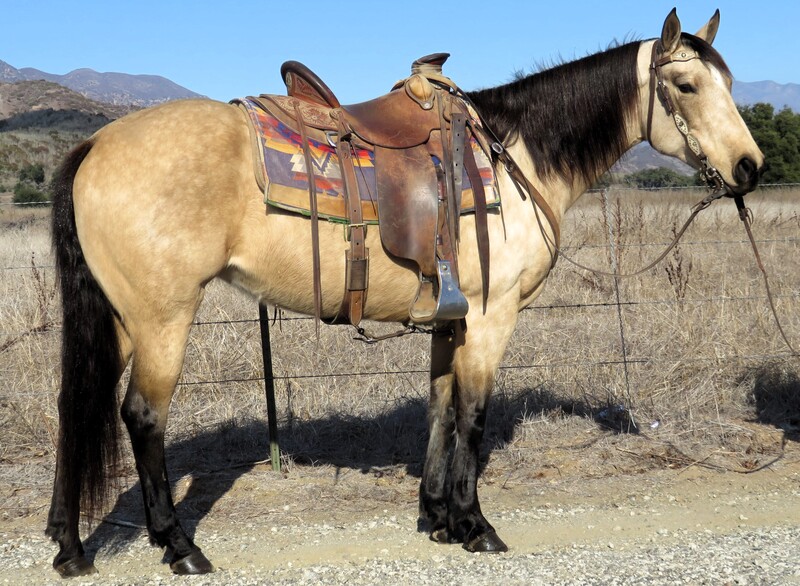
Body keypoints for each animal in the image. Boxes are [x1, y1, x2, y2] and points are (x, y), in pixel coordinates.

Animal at [46, 9, 763, 576]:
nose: (749, 167)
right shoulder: (491, 318)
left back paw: (70, 546)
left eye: (728, 83)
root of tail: (96, 143)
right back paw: (179, 546)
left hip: (120, 319)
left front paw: (438, 517)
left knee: (77, 407)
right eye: (686, 85)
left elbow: (440, 409)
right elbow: (473, 416)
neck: (516, 158)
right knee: (143, 417)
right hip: (163, 318)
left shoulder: (452, 321)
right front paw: (476, 526)